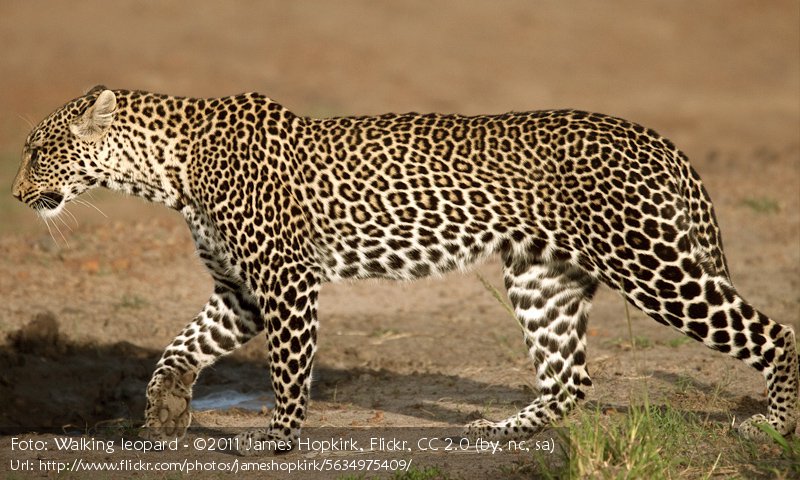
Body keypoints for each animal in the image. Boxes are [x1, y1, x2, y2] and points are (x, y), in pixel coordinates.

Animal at [11, 86, 798, 454]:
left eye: (40, 151)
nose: (15, 197)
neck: (164, 171)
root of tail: (659, 138)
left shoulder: (286, 280)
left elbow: (289, 370)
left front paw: (280, 439)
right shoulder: (239, 291)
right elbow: (177, 350)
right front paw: (165, 414)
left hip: (653, 265)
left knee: (776, 334)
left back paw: (774, 428)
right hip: (540, 277)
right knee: (571, 379)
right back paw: (497, 431)